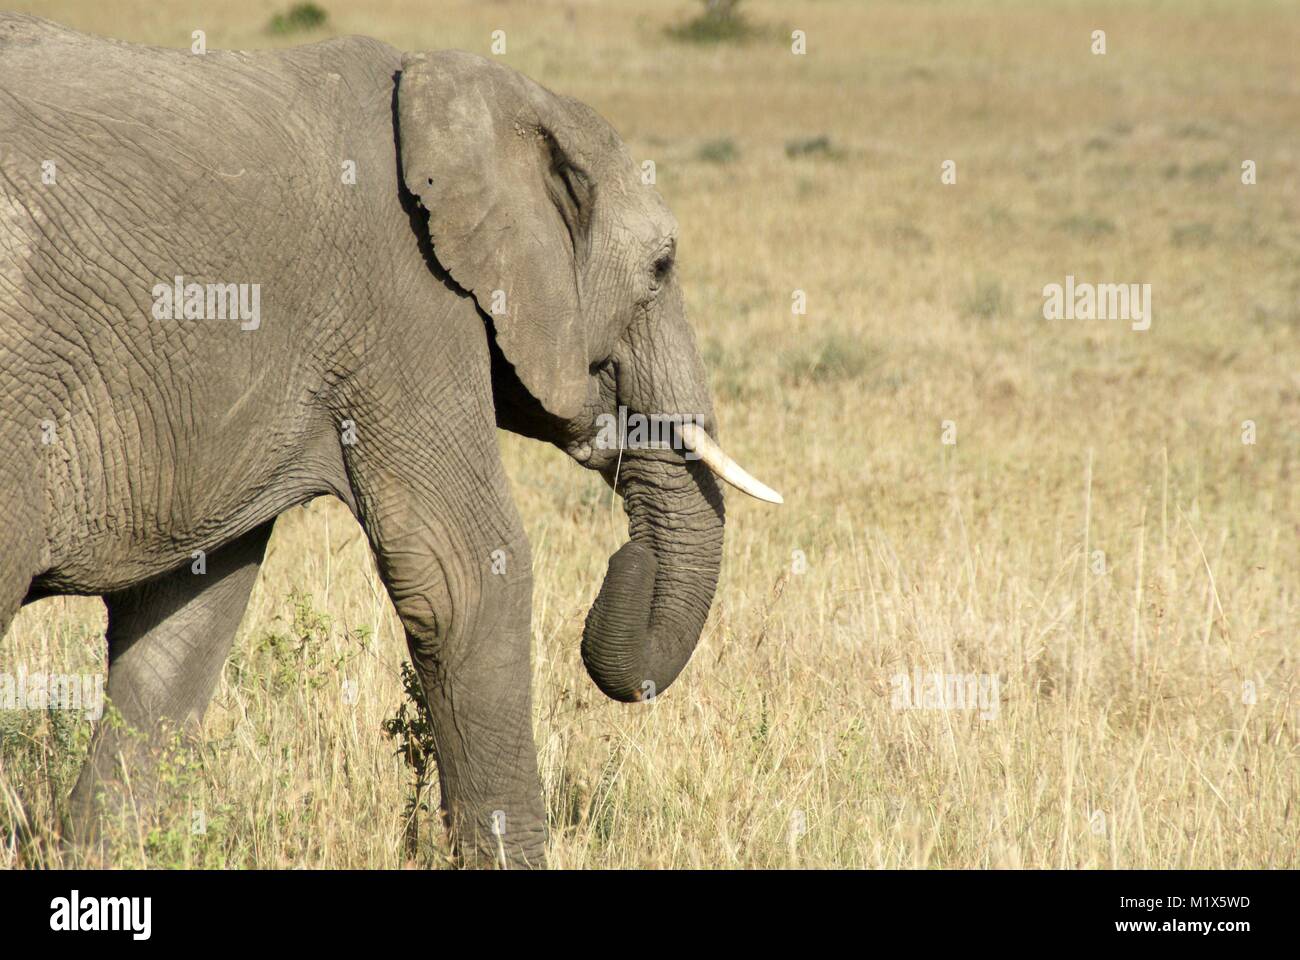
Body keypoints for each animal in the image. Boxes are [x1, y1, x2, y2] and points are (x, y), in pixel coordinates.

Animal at [0, 14, 780, 867]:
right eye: (662, 266)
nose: (625, 556)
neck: (458, 93)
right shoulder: (407, 301)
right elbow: (466, 574)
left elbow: (188, 613)